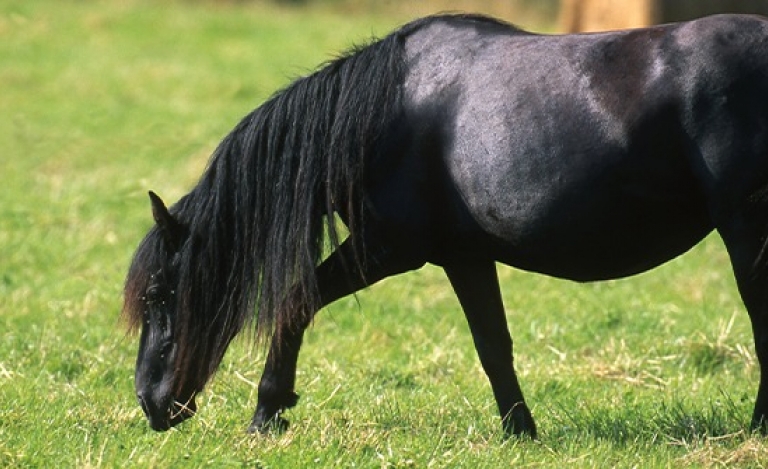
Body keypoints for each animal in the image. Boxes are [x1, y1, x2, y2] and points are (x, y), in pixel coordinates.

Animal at [123, 13, 768, 438]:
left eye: (159, 295)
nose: (150, 403)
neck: (382, 115)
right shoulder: (463, 255)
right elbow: (493, 346)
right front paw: (520, 432)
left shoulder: (387, 248)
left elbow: (296, 300)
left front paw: (266, 412)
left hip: (747, 232)